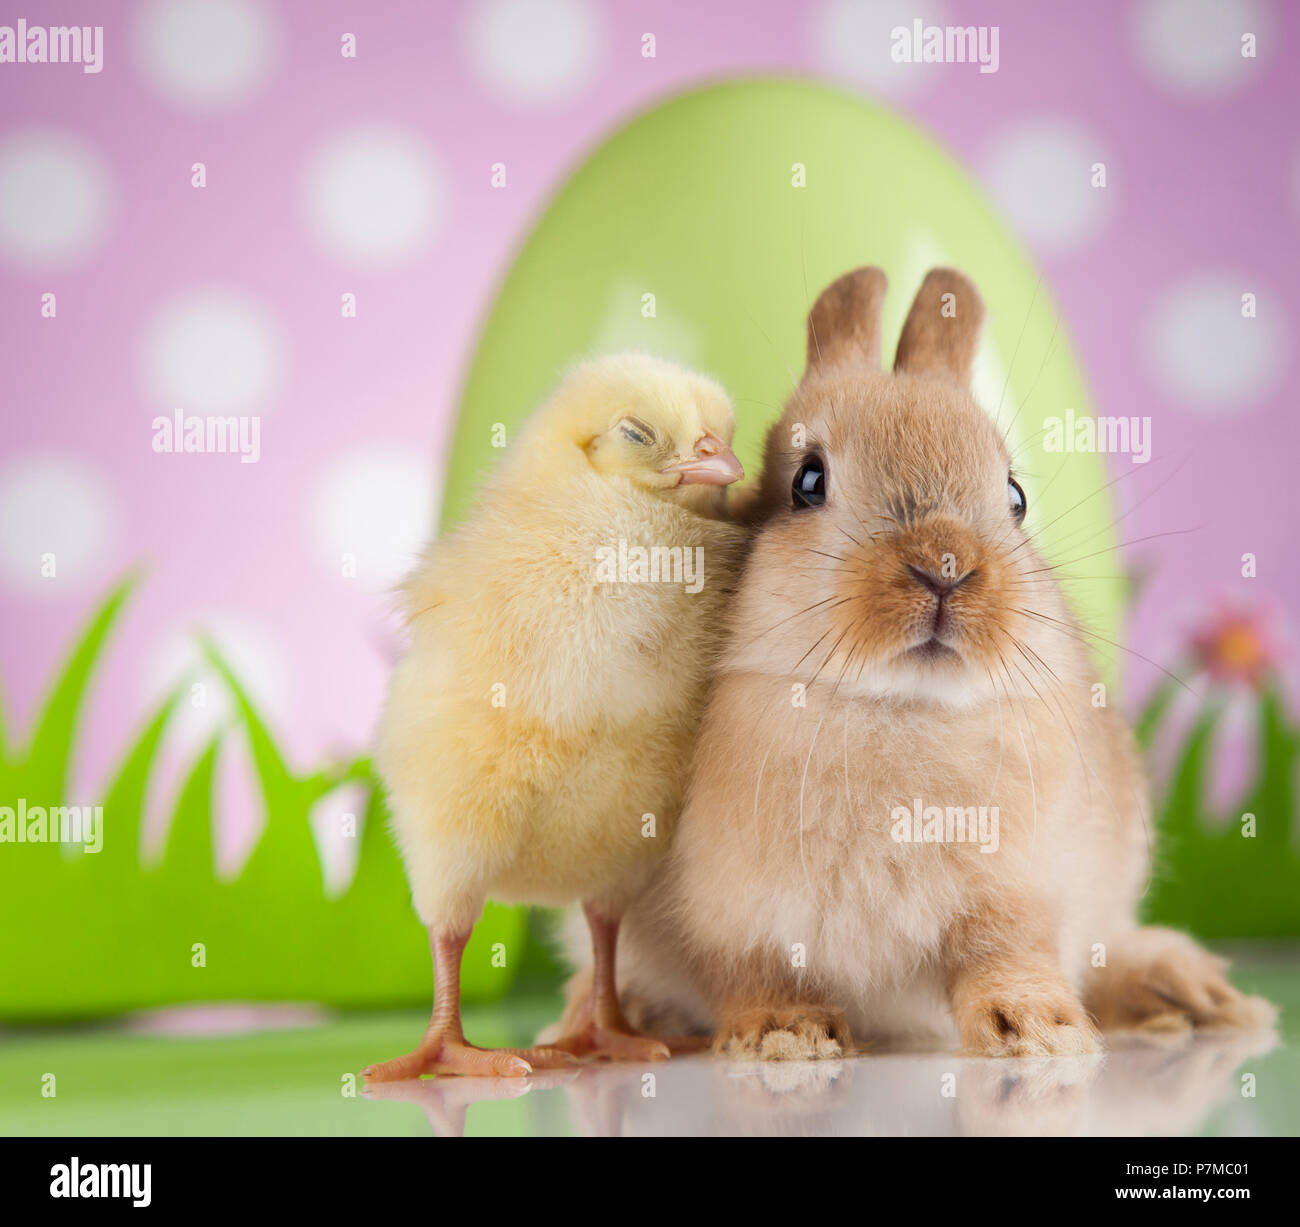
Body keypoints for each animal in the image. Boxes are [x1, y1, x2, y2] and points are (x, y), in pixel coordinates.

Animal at [550, 266, 1276, 1059]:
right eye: (807, 482)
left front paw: (1039, 1032)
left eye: (1016, 496)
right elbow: (752, 971)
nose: (944, 567)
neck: (899, 706)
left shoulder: (1014, 895)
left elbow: (1006, 956)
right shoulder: (731, 915)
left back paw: (1190, 996)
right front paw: (786, 1035)